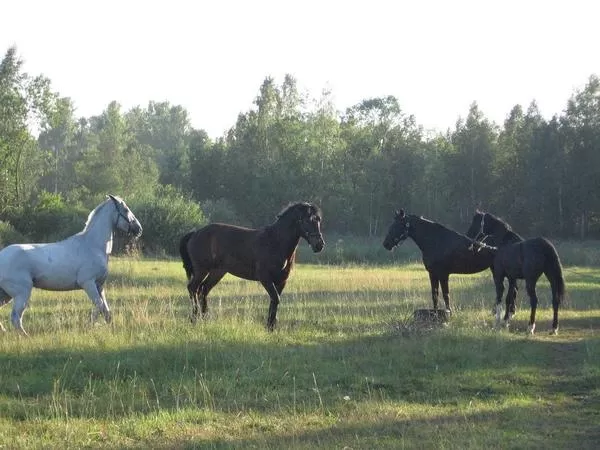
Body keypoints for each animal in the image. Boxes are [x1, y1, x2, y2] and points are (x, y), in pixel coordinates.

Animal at [0, 195, 142, 336]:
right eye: (125, 210)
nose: (138, 229)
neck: (93, 246)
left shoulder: (99, 285)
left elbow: (106, 311)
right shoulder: (88, 283)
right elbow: (99, 305)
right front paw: (89, 325)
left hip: (6, 294)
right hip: (21, 293)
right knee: (16, 318)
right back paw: (26, 336)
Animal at [180, 203, 326, 330]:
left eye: (318, 220)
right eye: (307, 220)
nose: (319, 244)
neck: (275, 242)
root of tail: (195, 233)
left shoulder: (282, 281)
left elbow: (275, 301)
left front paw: (271, 326)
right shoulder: (265, 278)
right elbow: (275, 299)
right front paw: (270, 326)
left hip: (217, 272)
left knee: (203, 290)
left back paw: (205, 319)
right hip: (202, 270)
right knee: (193, 288)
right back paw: (194, 319)